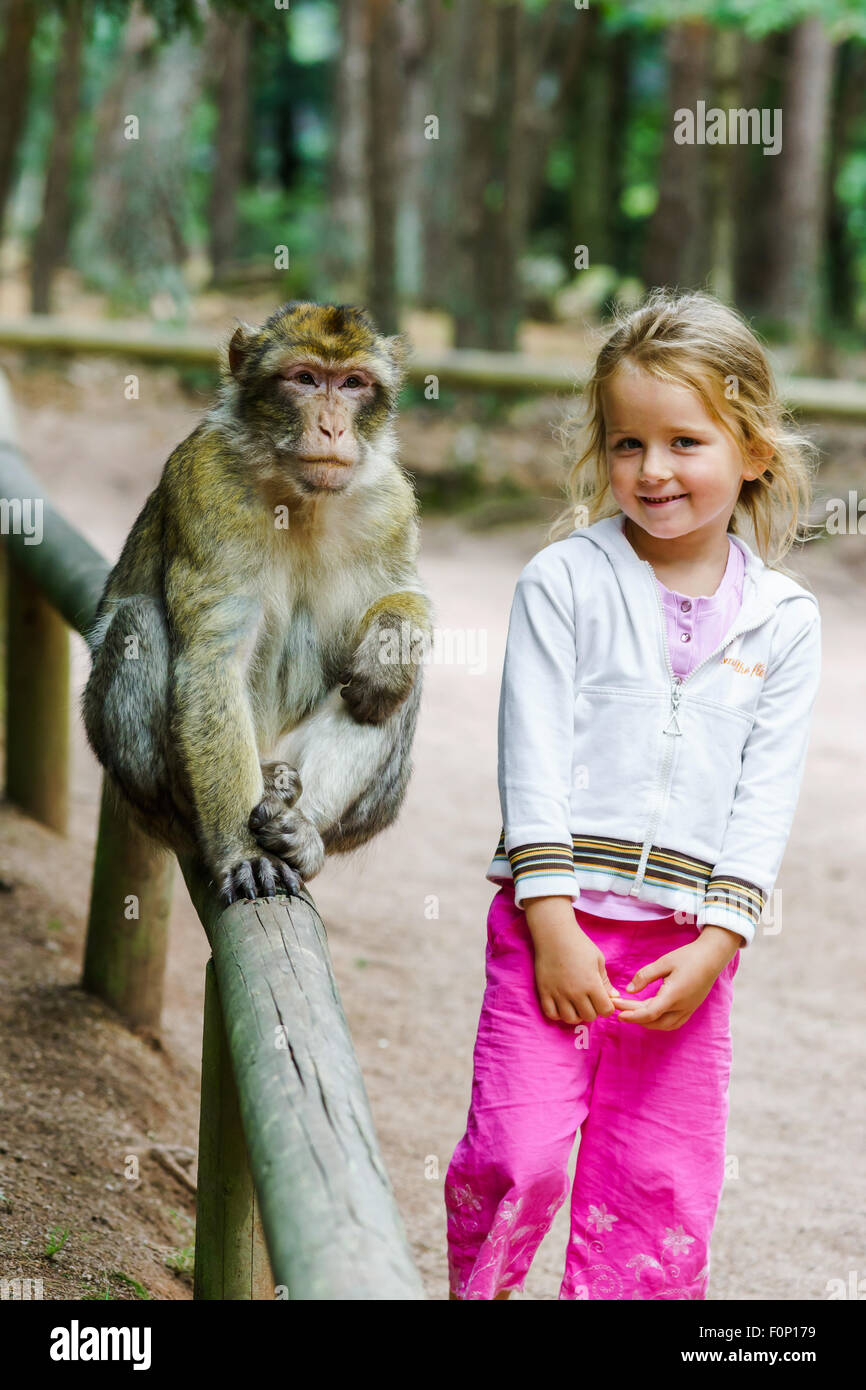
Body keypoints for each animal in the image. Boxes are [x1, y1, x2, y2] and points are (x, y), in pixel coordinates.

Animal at [82, 301, 433, 909]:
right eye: (306, 379)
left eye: (354, 383)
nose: (333, 426)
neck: (300, 496)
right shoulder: (206, 484)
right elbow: (213, 662)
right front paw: (243, 854)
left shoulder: (389, 499)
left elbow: (404, 597)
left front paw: (394, 639)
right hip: (149, 794)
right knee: (136, 621)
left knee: (394, 687)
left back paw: (300, 826)